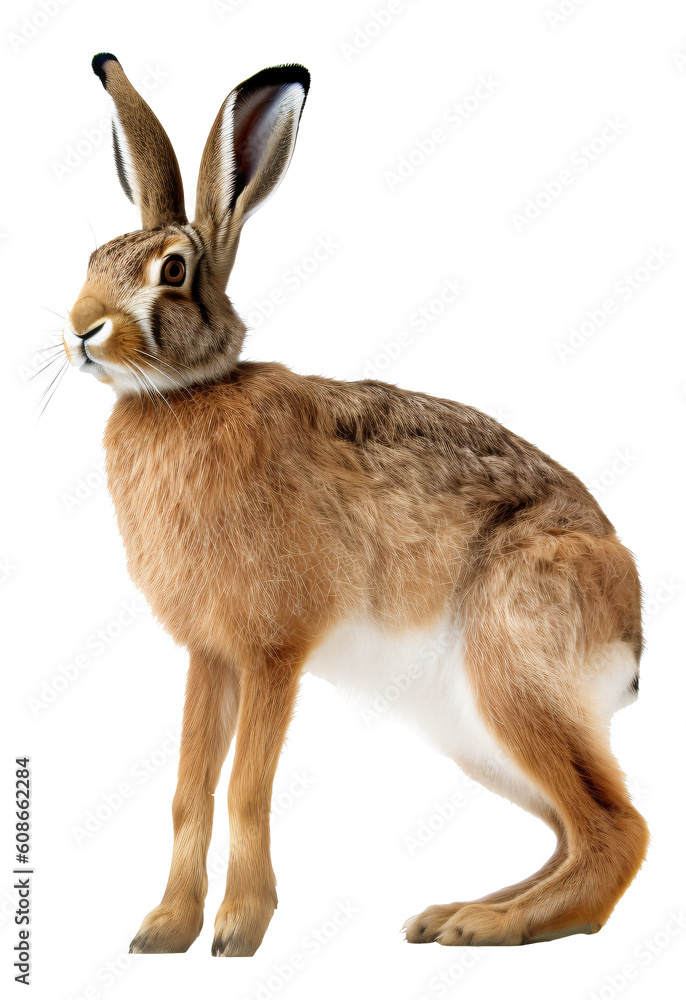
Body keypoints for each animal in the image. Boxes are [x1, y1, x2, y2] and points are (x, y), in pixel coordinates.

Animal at [61, 52, 649, 956]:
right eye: (93, 257)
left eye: (173, 272)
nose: (80, 327)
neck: (183, 397)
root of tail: (632, 624)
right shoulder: (211, 655)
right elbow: (189, 791)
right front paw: (161, 932)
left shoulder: (273, 649)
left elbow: (245, 788)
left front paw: (237, 932)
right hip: (477, 732)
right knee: (572, 832)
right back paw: (458, 914)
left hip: (514, 678)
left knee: (617, 830)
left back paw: (490, 925)